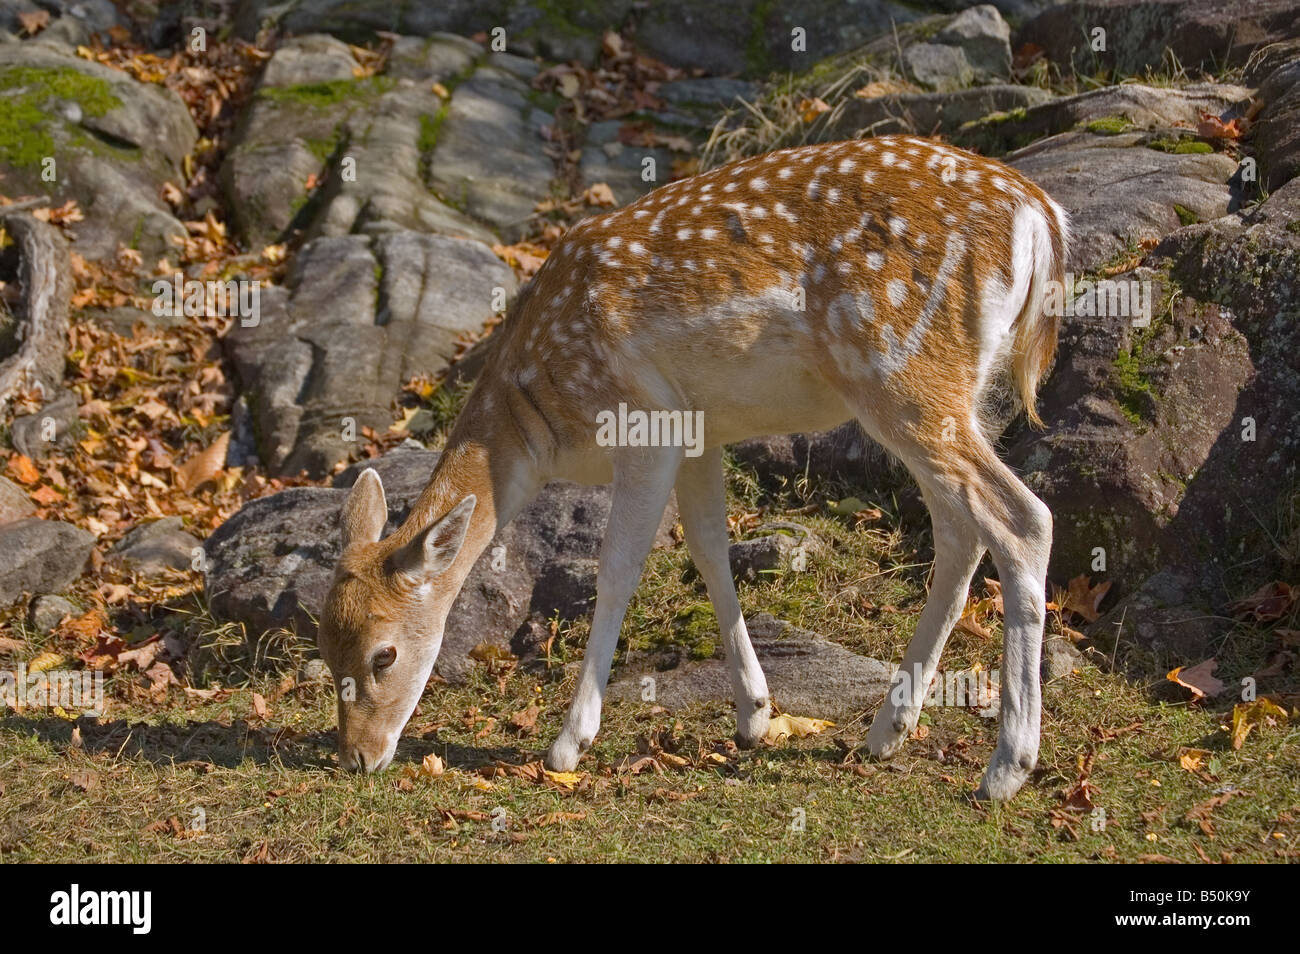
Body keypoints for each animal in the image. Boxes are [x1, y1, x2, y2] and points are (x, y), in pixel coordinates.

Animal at [316, 134, 1068, 801]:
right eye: (324, 649)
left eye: (383, 653)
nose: (357, 756)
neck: (540, 421)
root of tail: (1040, 217)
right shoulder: (697, 431)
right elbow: (709, 549)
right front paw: (754, 716)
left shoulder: (645, 420)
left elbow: (620, 568)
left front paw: (568, 743)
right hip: (945, 393)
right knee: (960, 531)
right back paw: (887, 732)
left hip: (903, 370)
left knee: (1022, 518)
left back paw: (1006, 767)